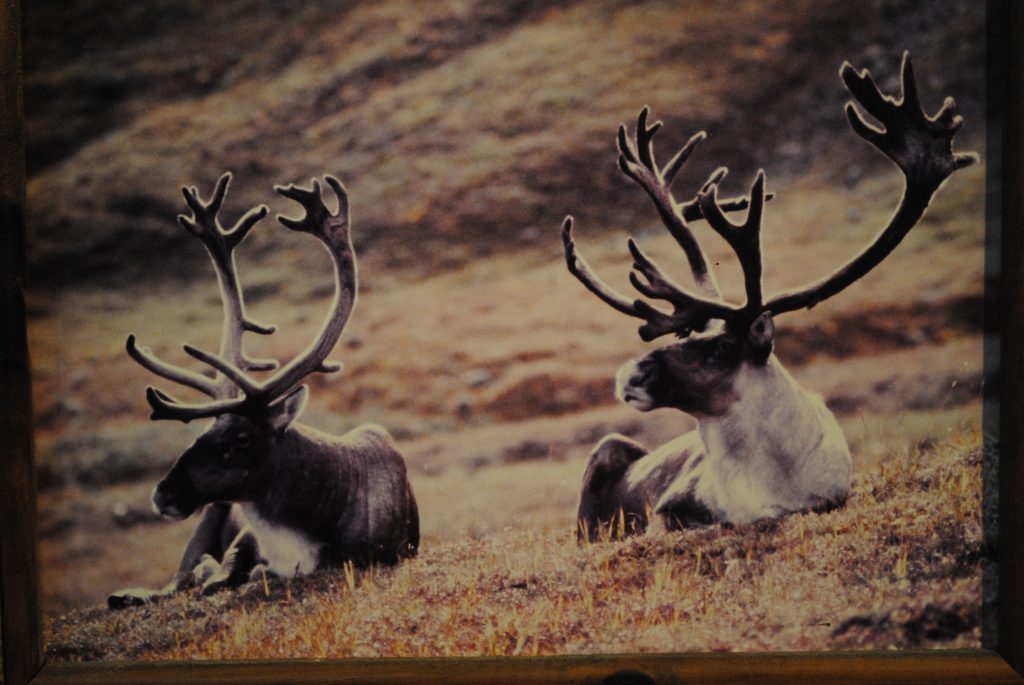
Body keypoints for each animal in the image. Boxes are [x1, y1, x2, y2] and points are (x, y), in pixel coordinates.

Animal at [107, 172, 419, 609]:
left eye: (242, 438)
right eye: (205, 431)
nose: (163, 493)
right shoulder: (241, 538)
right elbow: (223, 571)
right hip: (209, 517)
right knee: (174, 581)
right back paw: (129, 593)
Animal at [564, 52, 977, 542]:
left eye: (722, 346)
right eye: (685, 336)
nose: (629, 373)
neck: (762, 488)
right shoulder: (668, 506)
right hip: (606, 451)